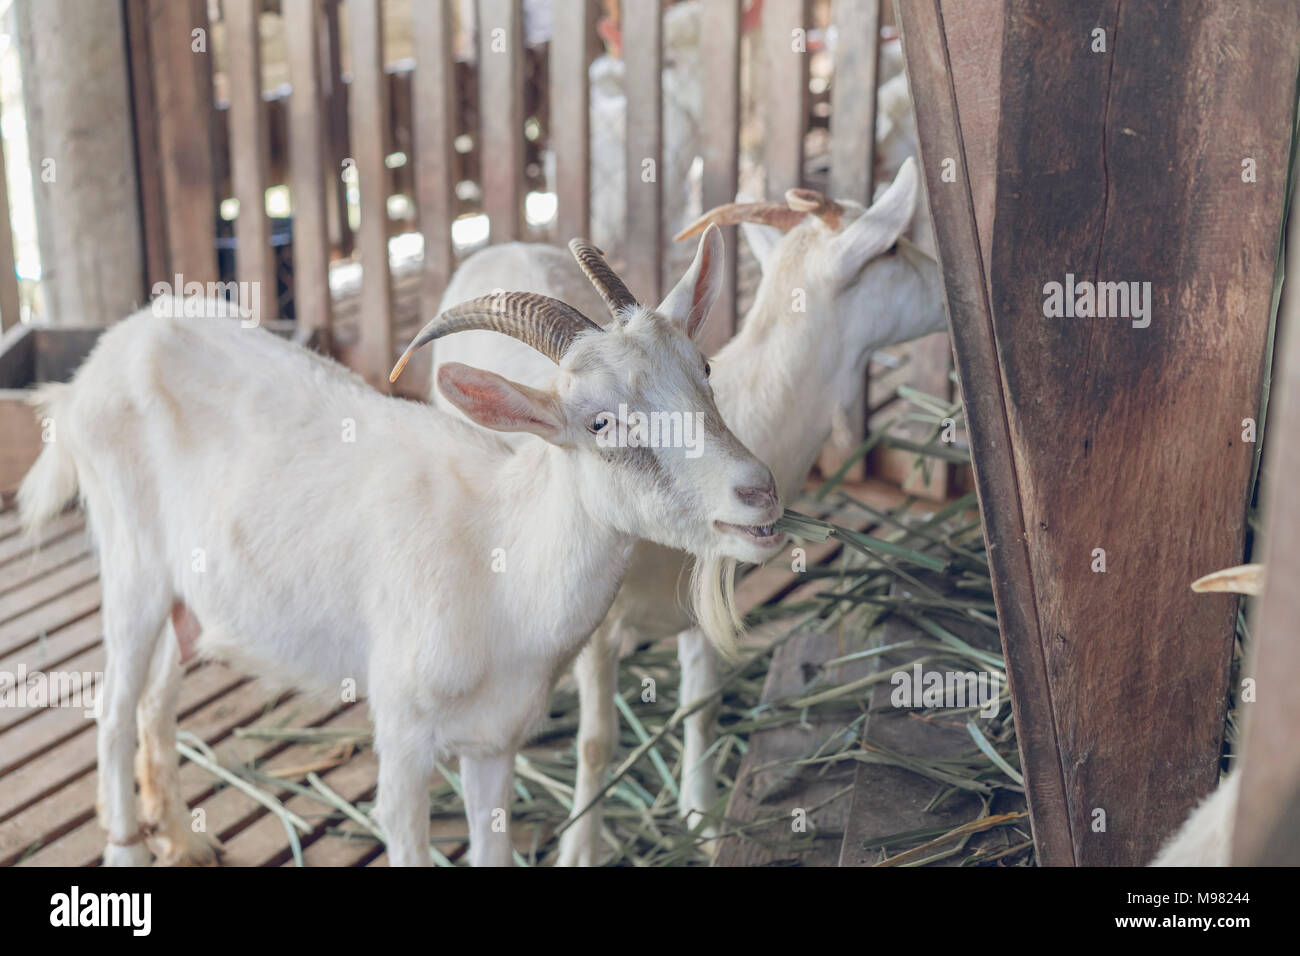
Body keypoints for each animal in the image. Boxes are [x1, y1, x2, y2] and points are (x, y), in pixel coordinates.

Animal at [16, 226, 785, 867]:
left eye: (704, 369)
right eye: (600, 422)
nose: (758, 492)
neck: (498, 561)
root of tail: (91, 370)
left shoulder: (495, 741)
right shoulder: (405, 734)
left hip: (189, 589)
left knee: (157, 696)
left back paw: (181, 839)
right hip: (130, 563)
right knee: (113, 707)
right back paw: (127, 849)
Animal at [431, 158, 949, 863]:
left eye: (703, 367)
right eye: (892, 246)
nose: (949, 290)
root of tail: (502, 244)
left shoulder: (704, 595)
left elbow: (701, 705)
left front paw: (703, 818)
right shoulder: (599, 627)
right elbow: (596, 744)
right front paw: (581, 848)